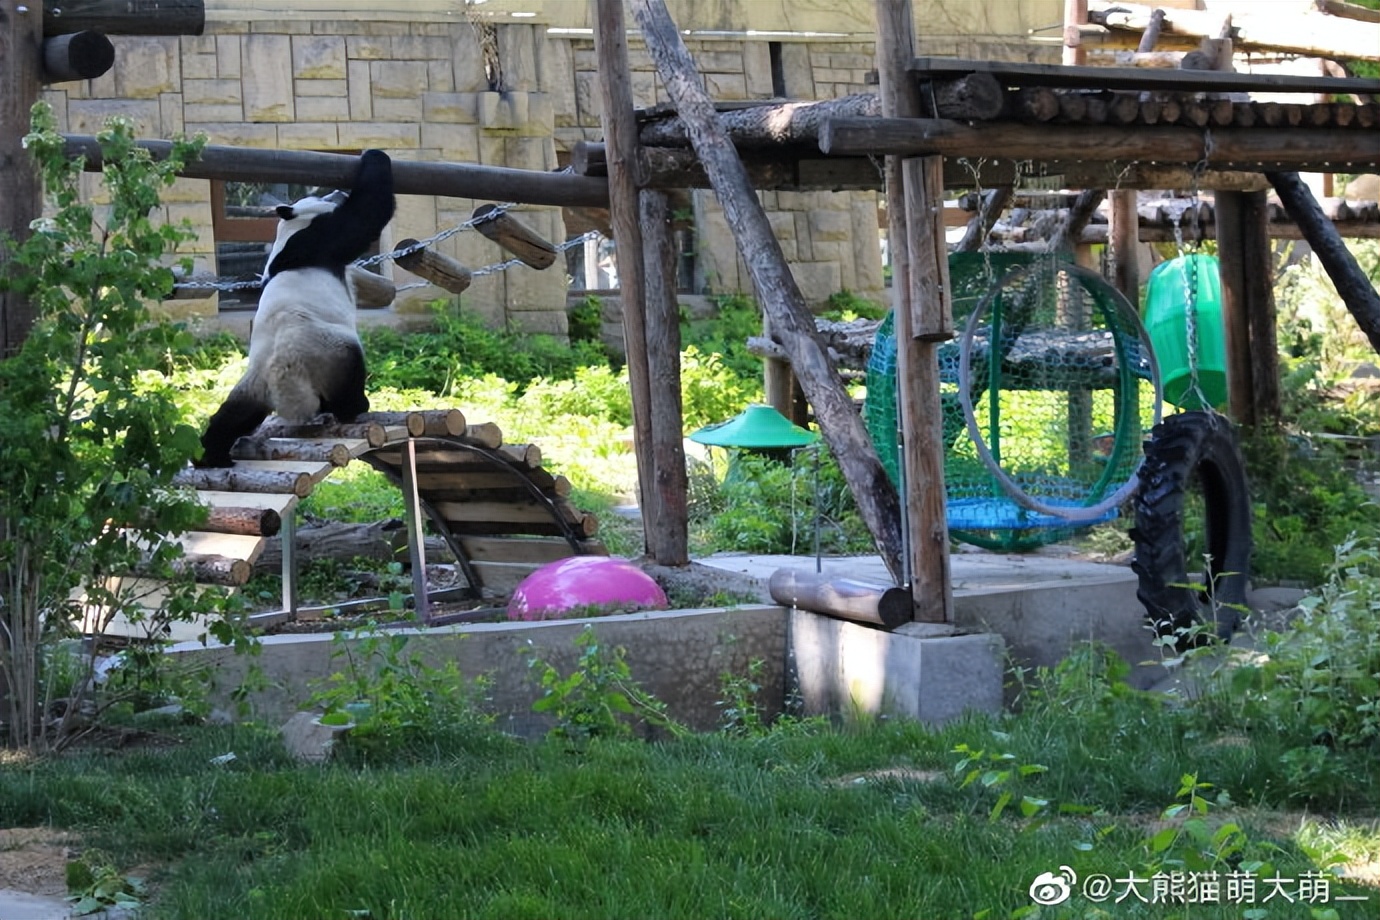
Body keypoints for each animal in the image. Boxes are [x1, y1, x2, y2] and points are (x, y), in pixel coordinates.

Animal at [196, 149, 396, 468]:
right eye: (322, 197)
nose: (336, 193)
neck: (290, 229)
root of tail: (282, 376)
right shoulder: (322, 239)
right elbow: (366, 214)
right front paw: (374, 156)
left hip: (254, 383)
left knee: (232, 416)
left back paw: (211, 456)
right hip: (328, 350)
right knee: (349, 375)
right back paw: (355, 405)